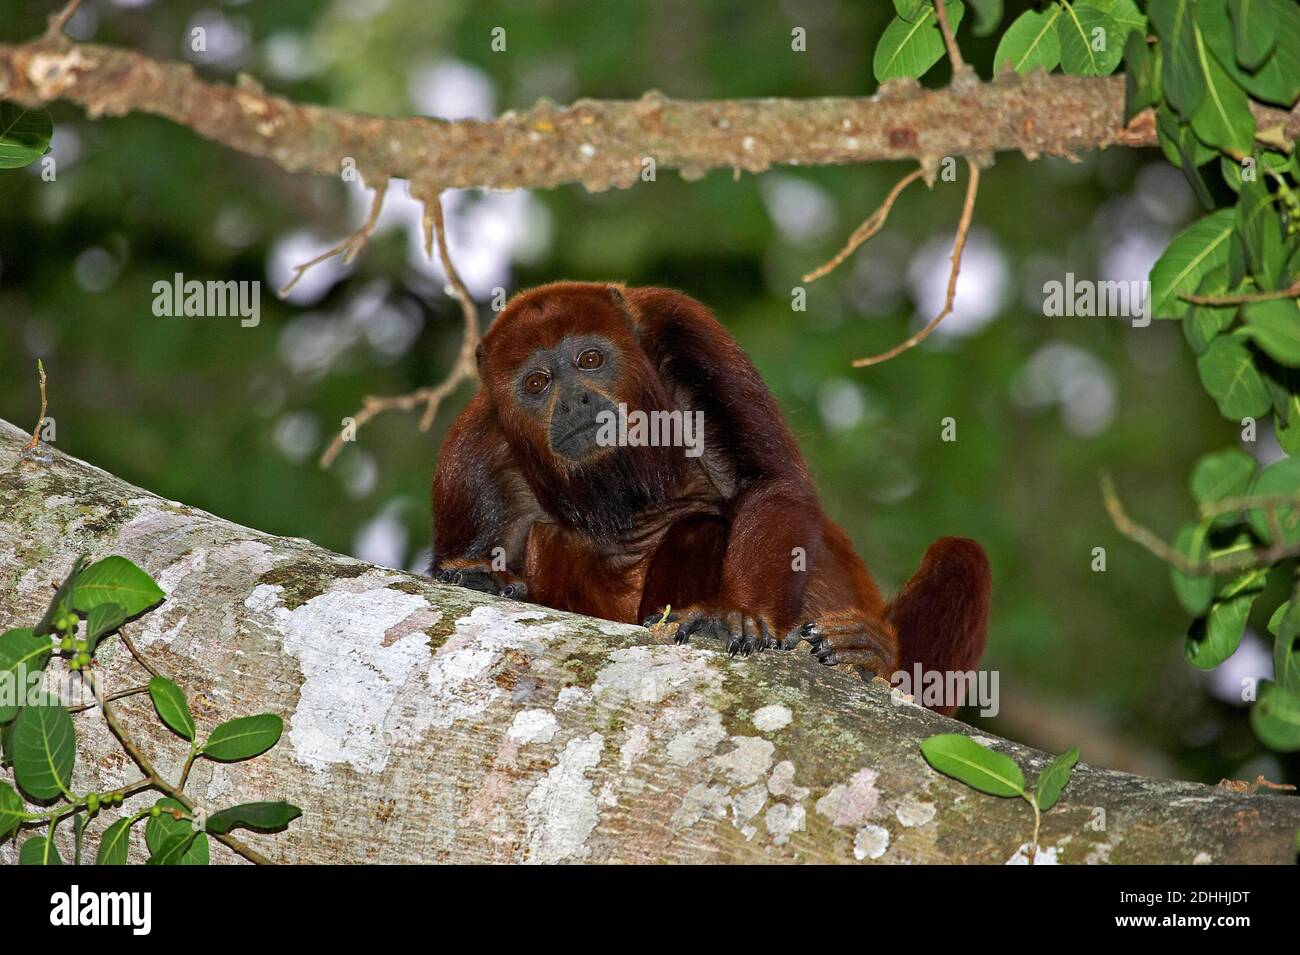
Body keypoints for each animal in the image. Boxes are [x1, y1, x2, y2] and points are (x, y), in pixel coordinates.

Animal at [431, 282, 989, 713]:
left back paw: (870, 655)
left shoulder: (684, 329)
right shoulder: (476, 448)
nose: (574, 401)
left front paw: (733, 613)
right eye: (536, 383)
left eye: (589, 359)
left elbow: (769, 481)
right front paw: (481, 577)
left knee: (960, 555)